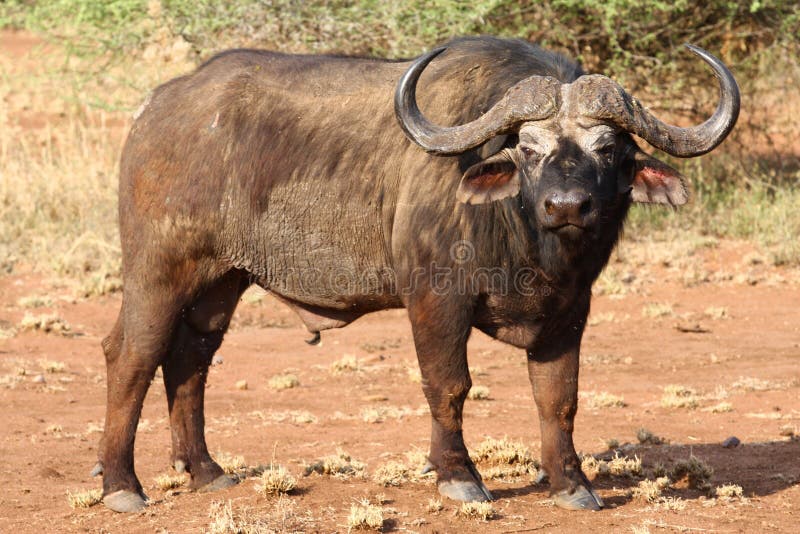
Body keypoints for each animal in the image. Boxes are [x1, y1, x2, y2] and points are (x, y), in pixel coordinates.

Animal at [94, 36, 739, 512]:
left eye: (606, 147)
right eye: (528, 148)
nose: (567, 206)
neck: (526, 243)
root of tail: (156, 108)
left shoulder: (570, 312)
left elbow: (559, 399)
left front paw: (572, 485)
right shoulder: (435, 301)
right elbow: (448, 386)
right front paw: (459, 477)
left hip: (220, 283)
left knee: (189, 359)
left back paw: (205, 471)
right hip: (158, 271)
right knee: (131, 355)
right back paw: (122, 486)